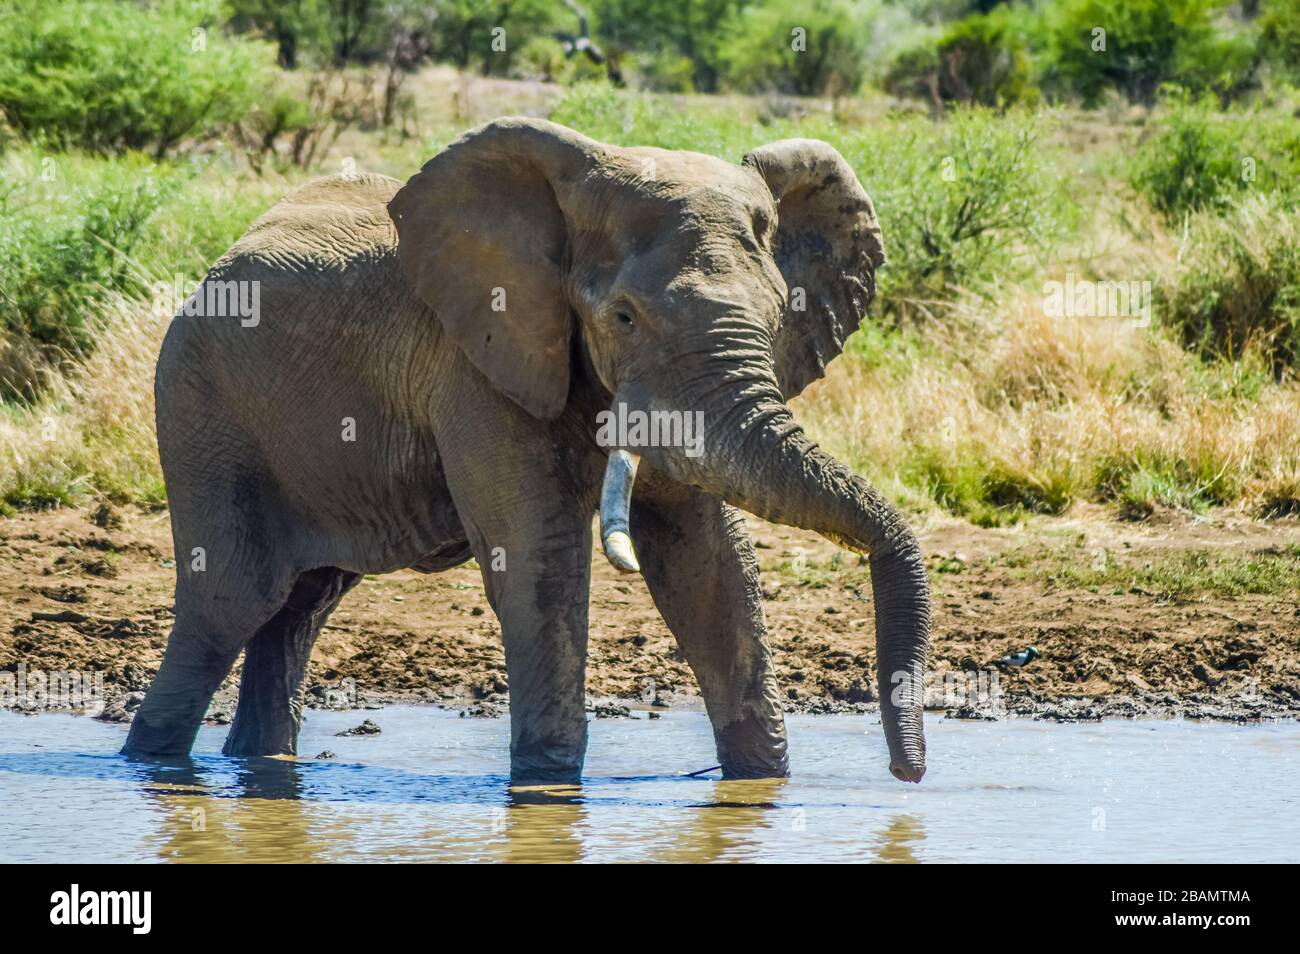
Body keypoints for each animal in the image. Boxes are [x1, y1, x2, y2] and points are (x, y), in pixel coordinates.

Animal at [121, 117, 932, 785]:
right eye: (623, 318)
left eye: (776, 318)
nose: (908, 772)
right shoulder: (475, 369)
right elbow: (541, 563)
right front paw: (546, 790)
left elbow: (711, 567)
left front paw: (761, 786)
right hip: (201, 411)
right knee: (230, 601)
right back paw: (151, 764)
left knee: (300, 606)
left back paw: (259, 766)